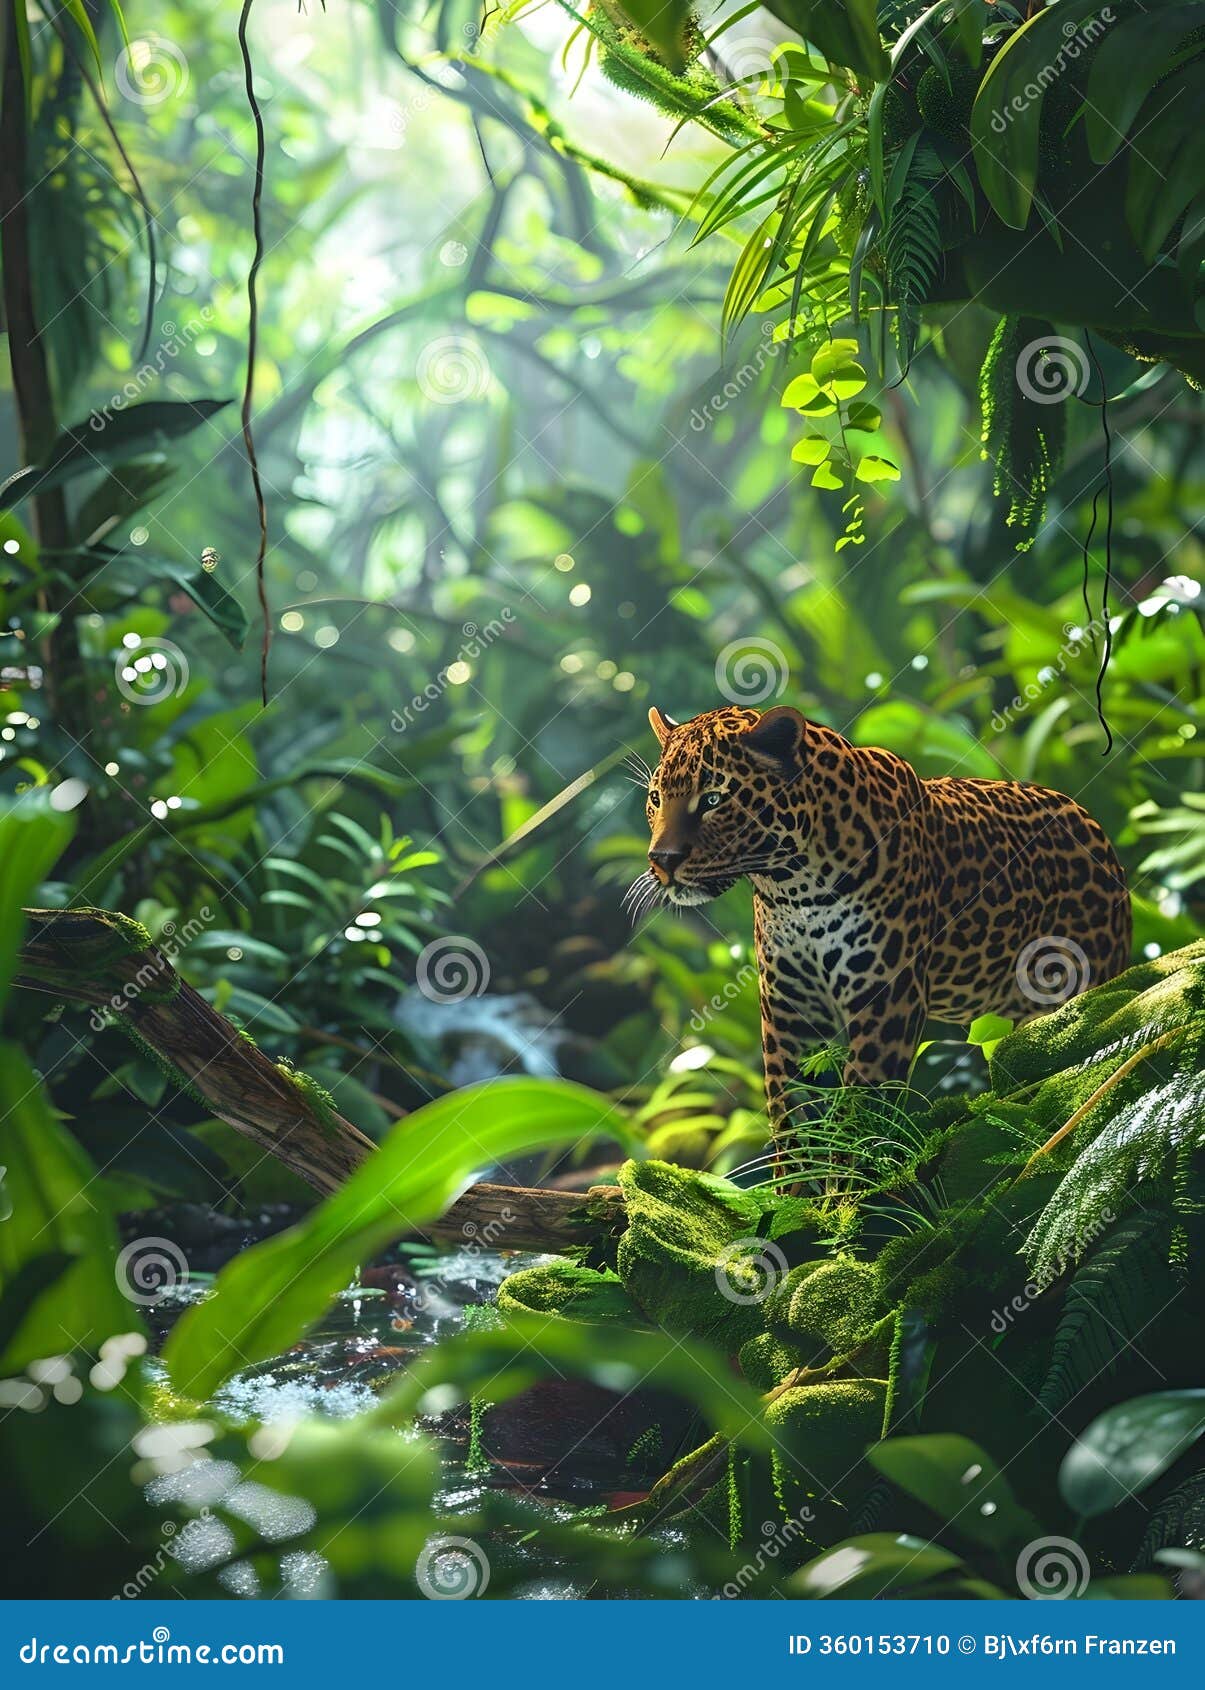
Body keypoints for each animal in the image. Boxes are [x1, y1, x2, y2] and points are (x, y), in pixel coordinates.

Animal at [632, 702, 1131, 1143]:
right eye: (655, 799)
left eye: (713, 799)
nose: (662, 860)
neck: (793, 885)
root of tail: (1087, 818)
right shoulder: (788, 1012)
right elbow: (795, 1122)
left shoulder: (887, 1000)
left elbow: (859, 1114)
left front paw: (852, 1190)